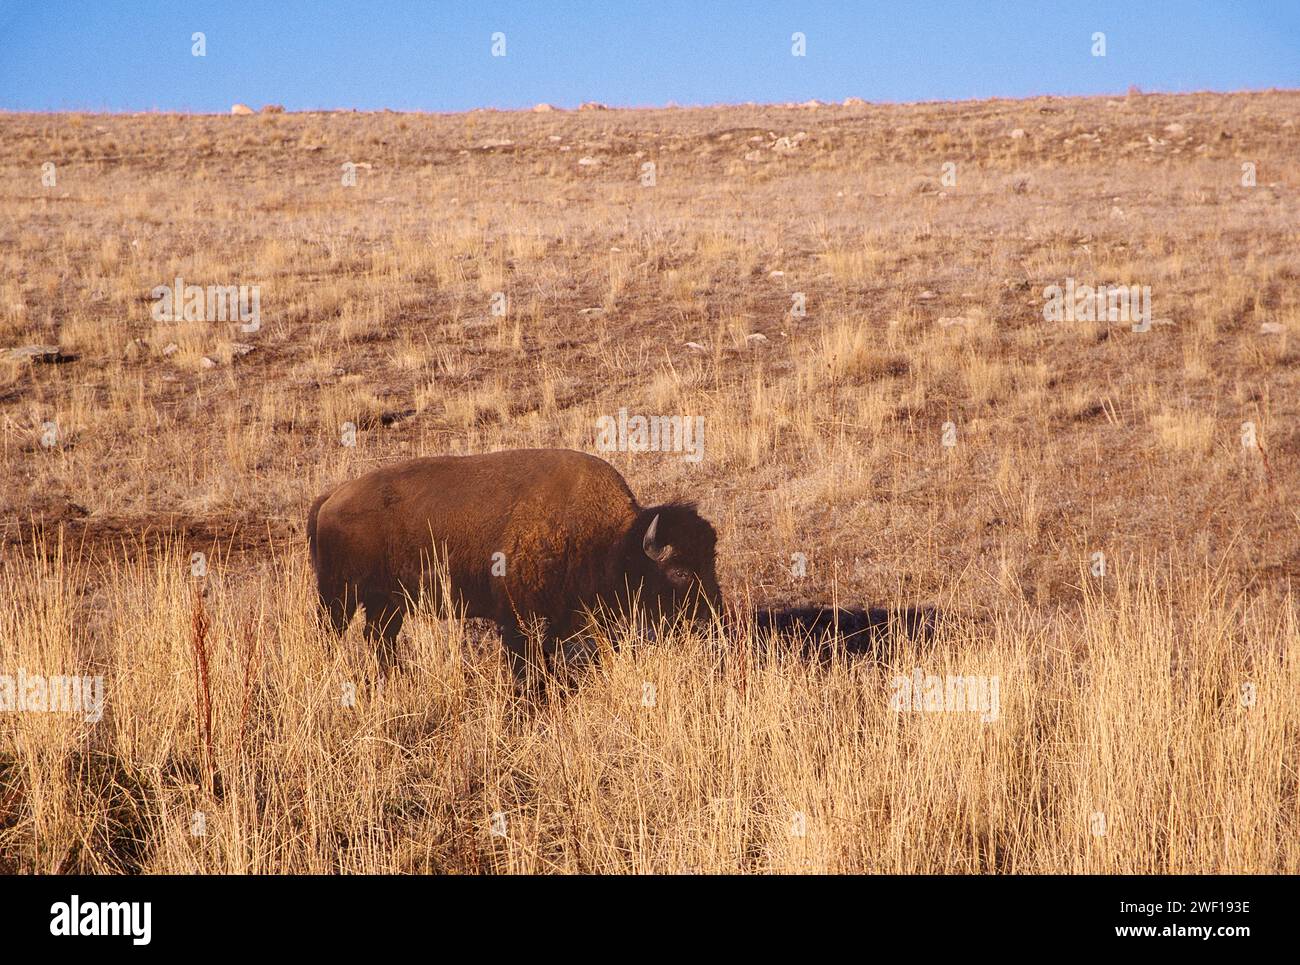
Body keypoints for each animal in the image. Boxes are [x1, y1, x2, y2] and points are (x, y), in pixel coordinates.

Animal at [307, 448, 721, 677]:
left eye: (711, 562)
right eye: (680, 571)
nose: (713, 620)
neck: (613, 541)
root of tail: (330, 499)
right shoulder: (519, 622)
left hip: (386, 603)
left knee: (379, 639)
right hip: (338, 596)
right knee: (332, 635)